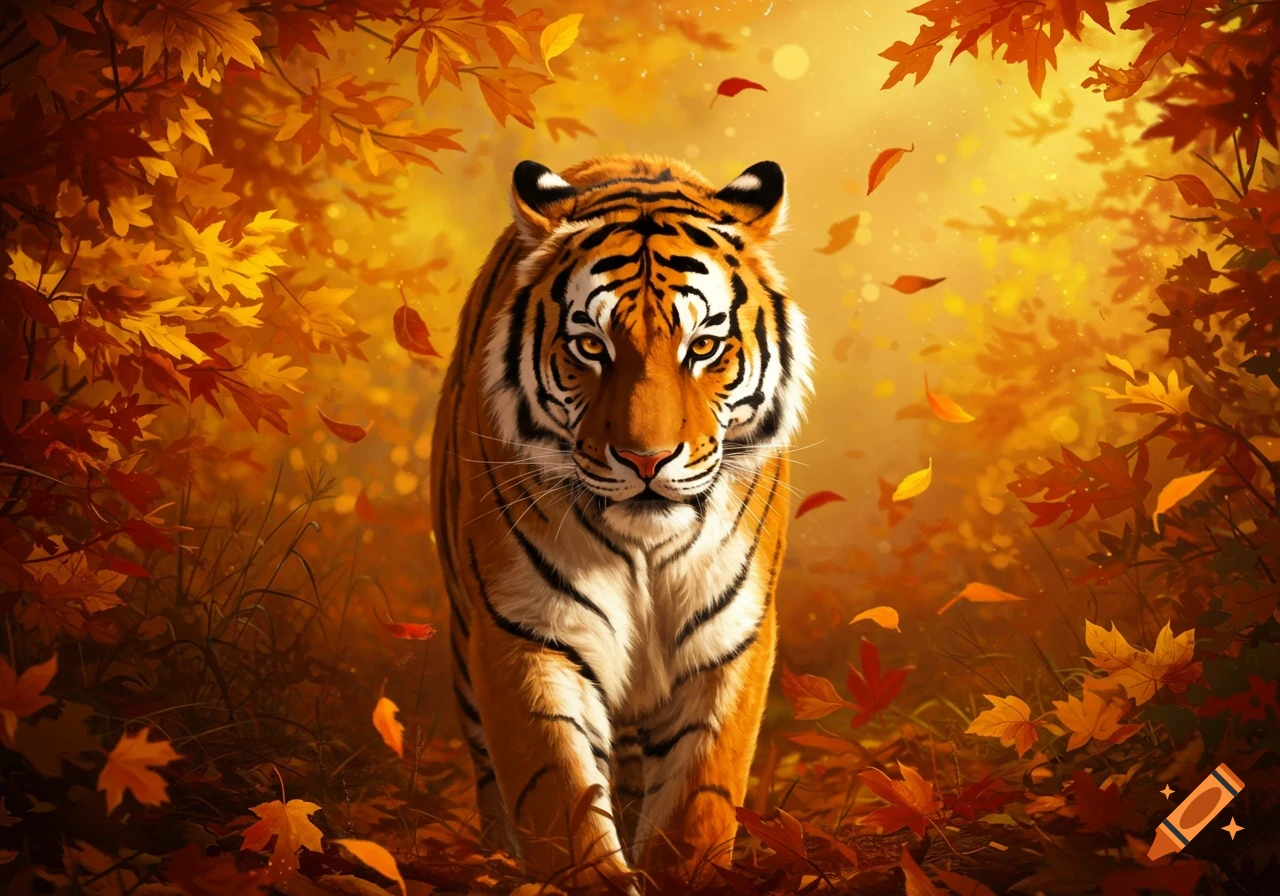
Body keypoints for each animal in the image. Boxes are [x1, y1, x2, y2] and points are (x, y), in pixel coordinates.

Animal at [429, 154, 812, 887]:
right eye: (589, 345)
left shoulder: (728, 639)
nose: (646, 459)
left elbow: (696, 811)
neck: (644, 549)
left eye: (704, 345)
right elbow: (561, 803)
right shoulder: (526, 632)